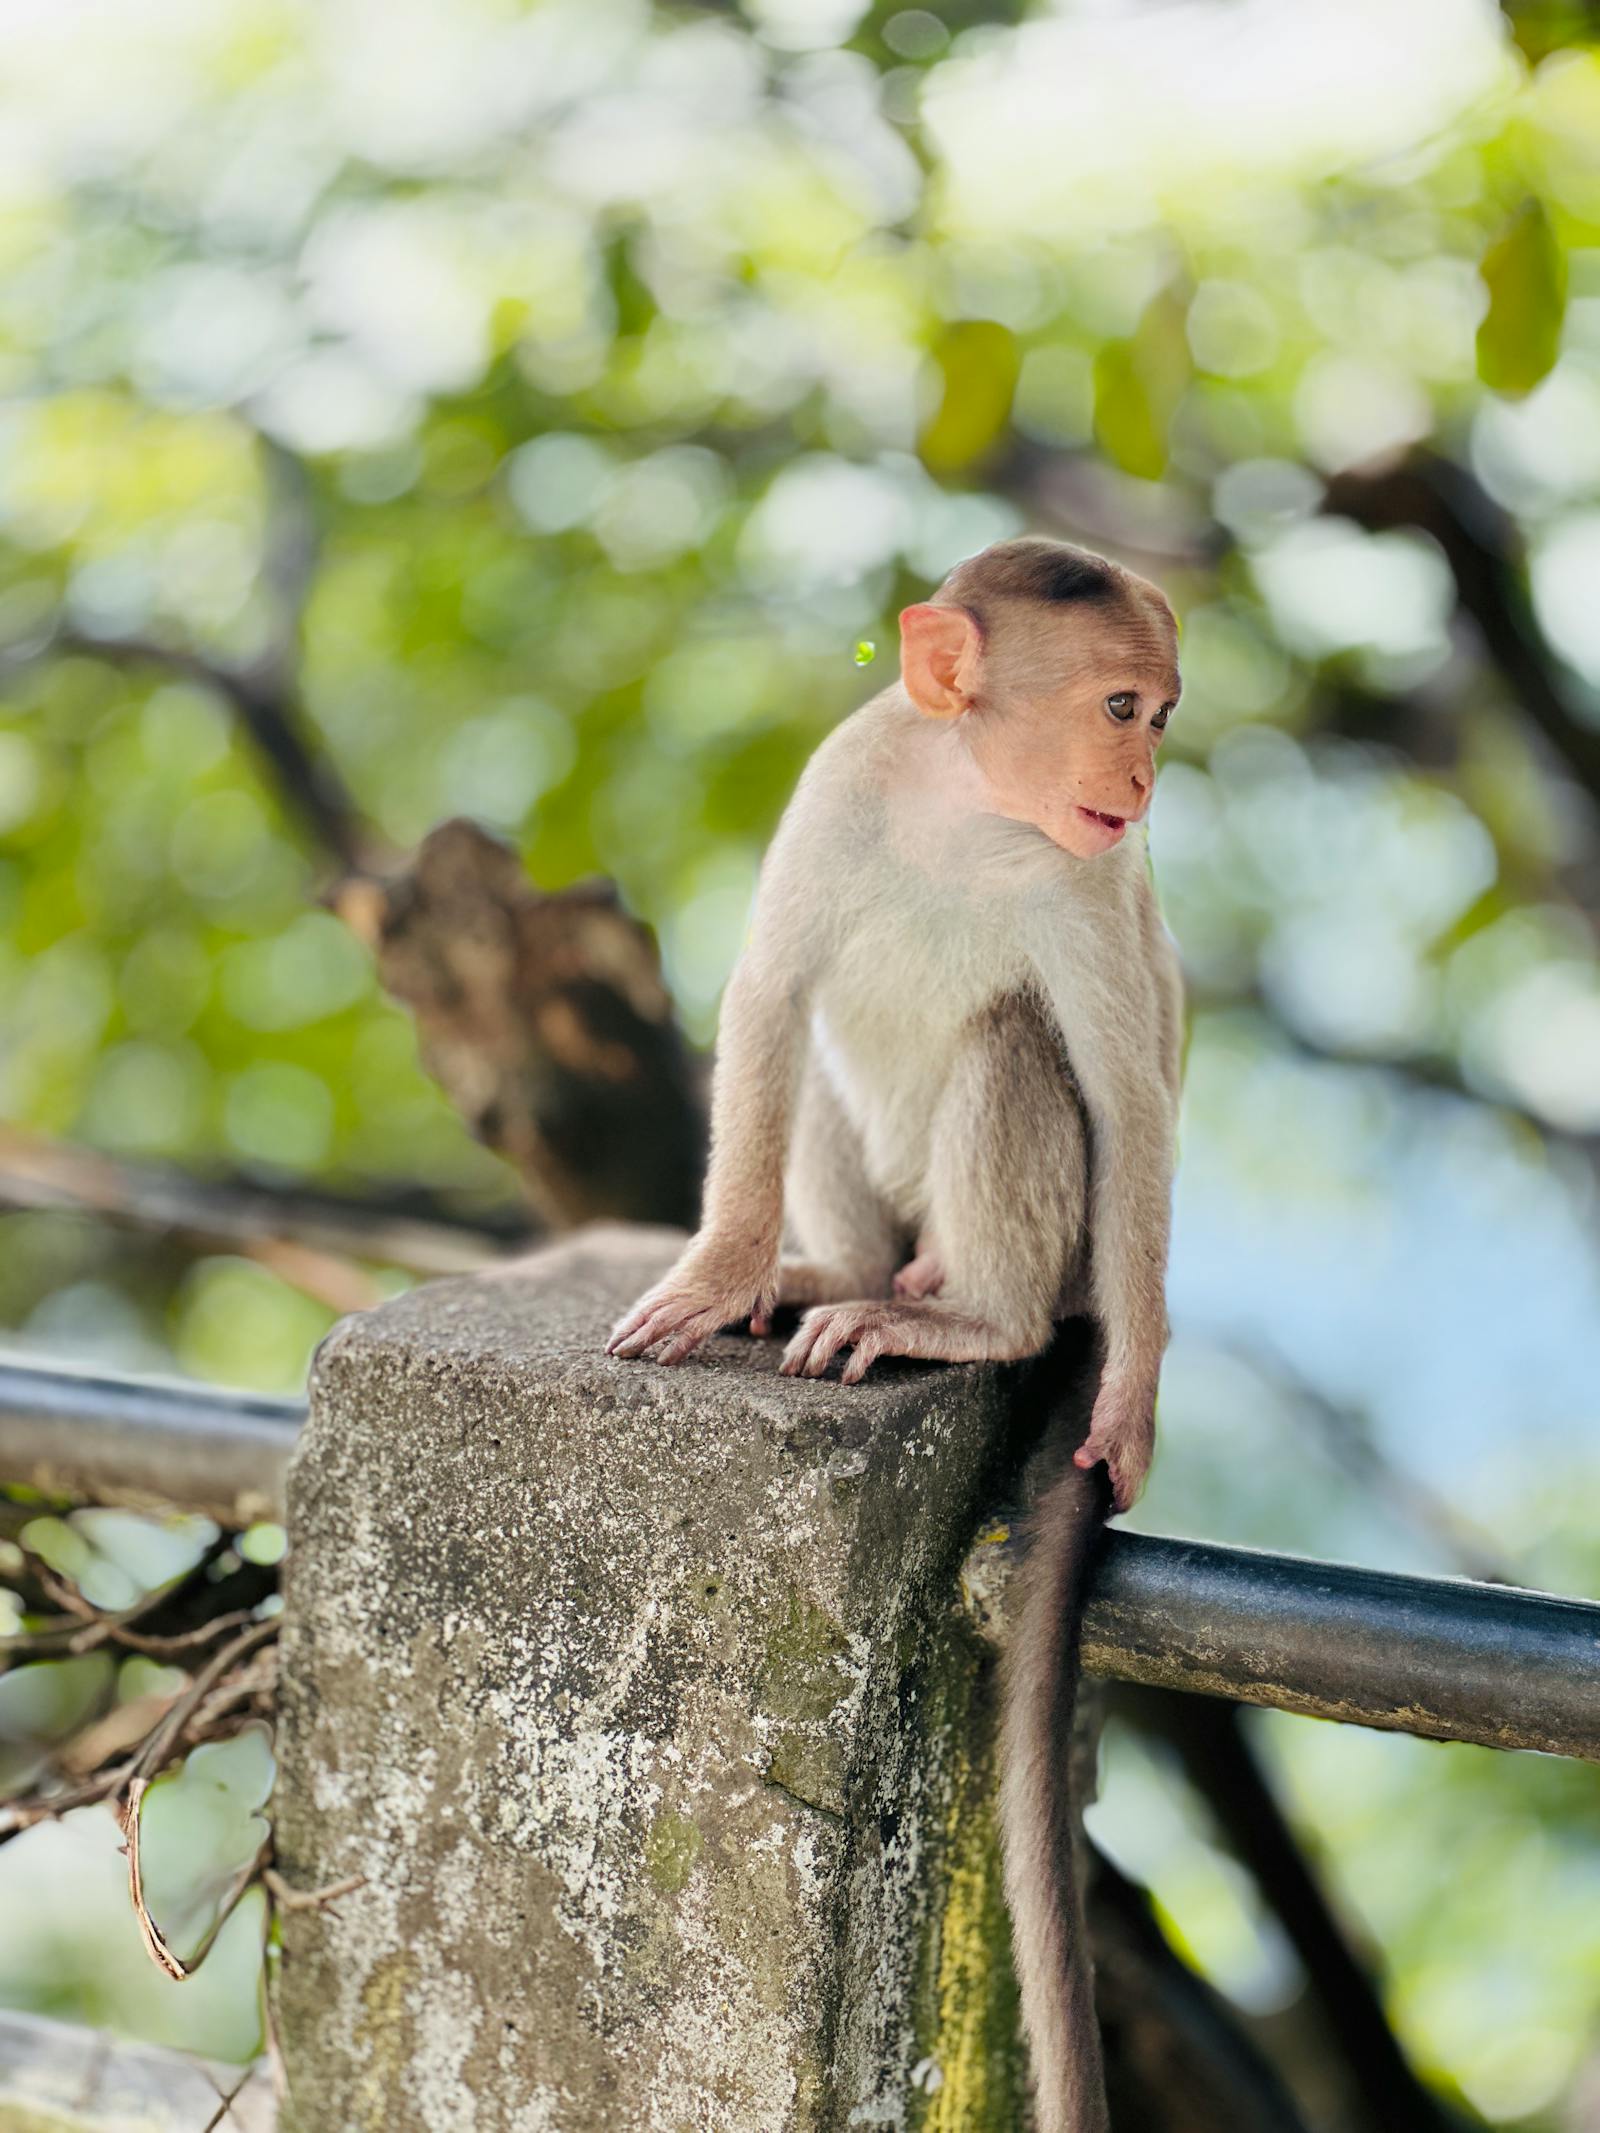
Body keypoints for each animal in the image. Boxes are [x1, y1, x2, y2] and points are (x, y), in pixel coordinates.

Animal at [606, 535, 1183, 2133]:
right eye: (1122, 705)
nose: (1145, 775)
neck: (967, 810)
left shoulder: (1094, 882)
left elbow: (1130, 1097)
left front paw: (1130, 1405)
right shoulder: (837, 792)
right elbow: (768, 994)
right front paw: (720, 1269)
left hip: (1054, 1253)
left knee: (1016, 1044)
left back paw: (966, 1318)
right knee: (819, 1044)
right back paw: (826, 1271)